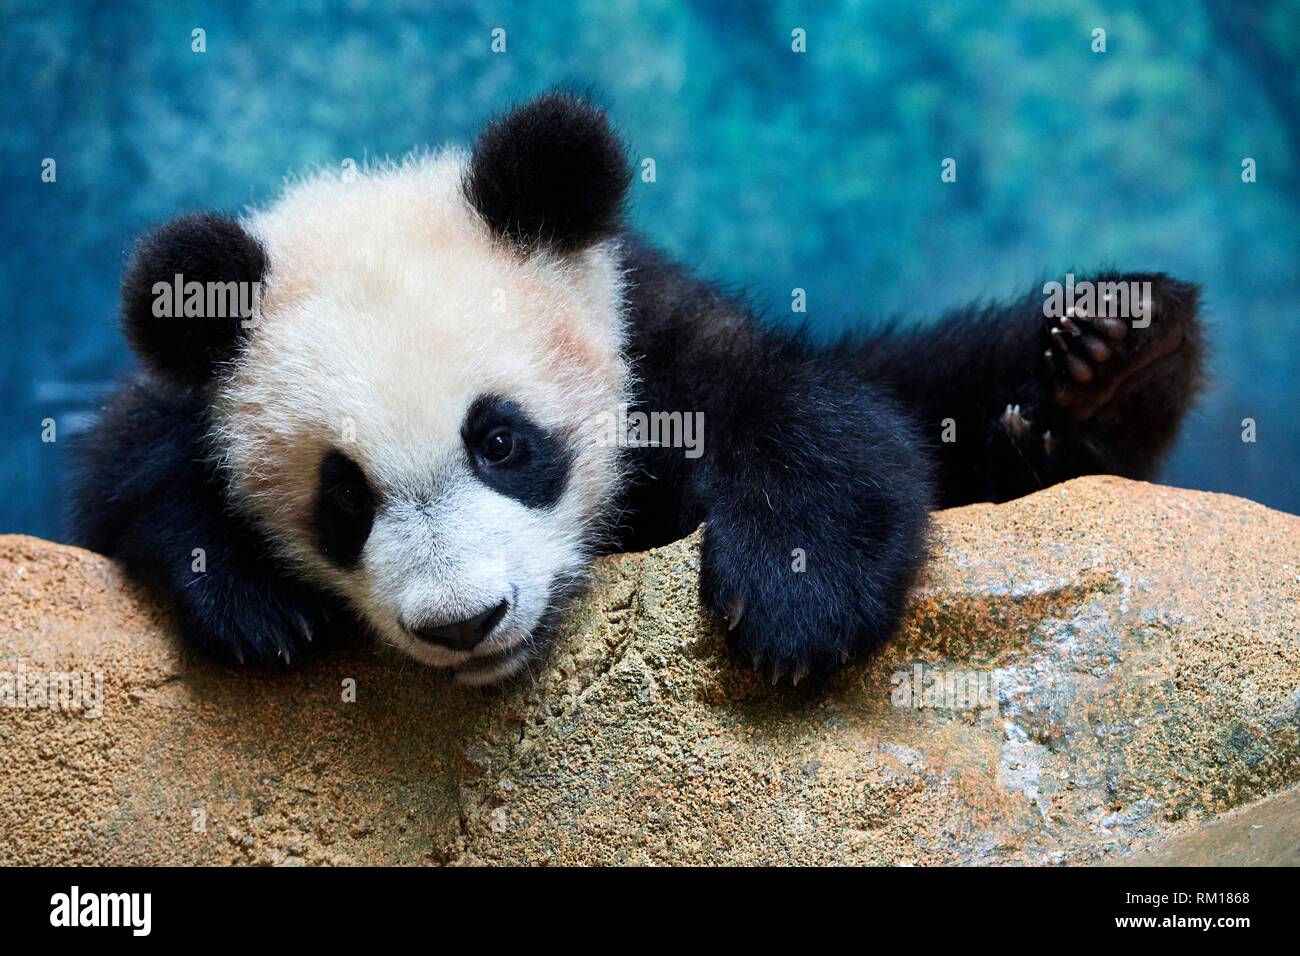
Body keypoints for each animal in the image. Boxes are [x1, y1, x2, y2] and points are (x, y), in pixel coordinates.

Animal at [71, 93, 1205, 686]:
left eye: (501, 442)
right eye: (342, 496)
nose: (462, 622)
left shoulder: (654, 332)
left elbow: (812, 406)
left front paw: (796, 600)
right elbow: (131, 462)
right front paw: (253, 601)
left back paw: (1110, 352)